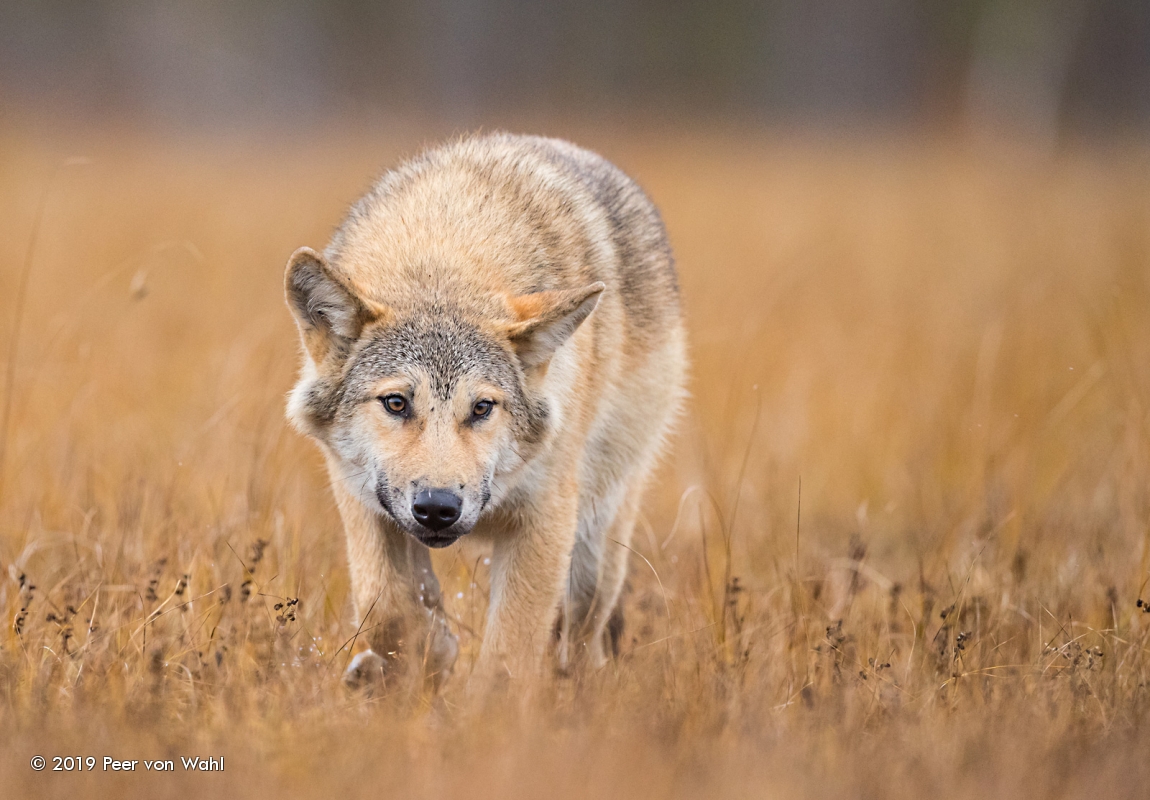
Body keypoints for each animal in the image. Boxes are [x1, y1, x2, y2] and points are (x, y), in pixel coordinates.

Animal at [284, 133, 686, 688]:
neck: (443, 259)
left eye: (481, 407)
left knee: (580, 638)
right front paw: (424, 659)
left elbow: (506, 662)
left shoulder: (544, 518)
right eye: (396, 402)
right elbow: (387, 609)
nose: (437, 508)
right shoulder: (360, 496)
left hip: (594, 542)